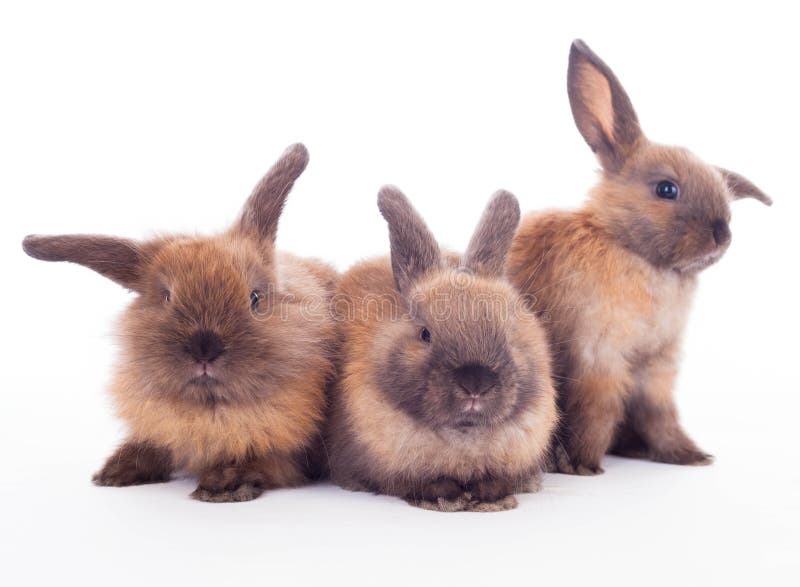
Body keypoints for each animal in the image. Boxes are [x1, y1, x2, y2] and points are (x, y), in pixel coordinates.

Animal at [22, 143, 339, 502]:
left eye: (255, 297)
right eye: (167, 297)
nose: (205, 348)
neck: (210, 410)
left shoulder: (290, 457)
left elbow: (262, 462)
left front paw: (223, 485)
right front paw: (115, 472)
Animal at [326, 187, 557, 511]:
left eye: (510, 332)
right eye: (425, 334)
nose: (476, 383)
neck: (464, 435)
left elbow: (497, 482)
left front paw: (489, 498)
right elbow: (425, 483)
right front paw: (450, 498)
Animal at [506, 40, 772, 476]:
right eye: (666, 189)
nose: (722, 234)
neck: (633, 251)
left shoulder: (657, 367)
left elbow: (660, 415)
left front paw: (691, 456)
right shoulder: (598, 360)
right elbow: (595, 414)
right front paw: (582, 465)